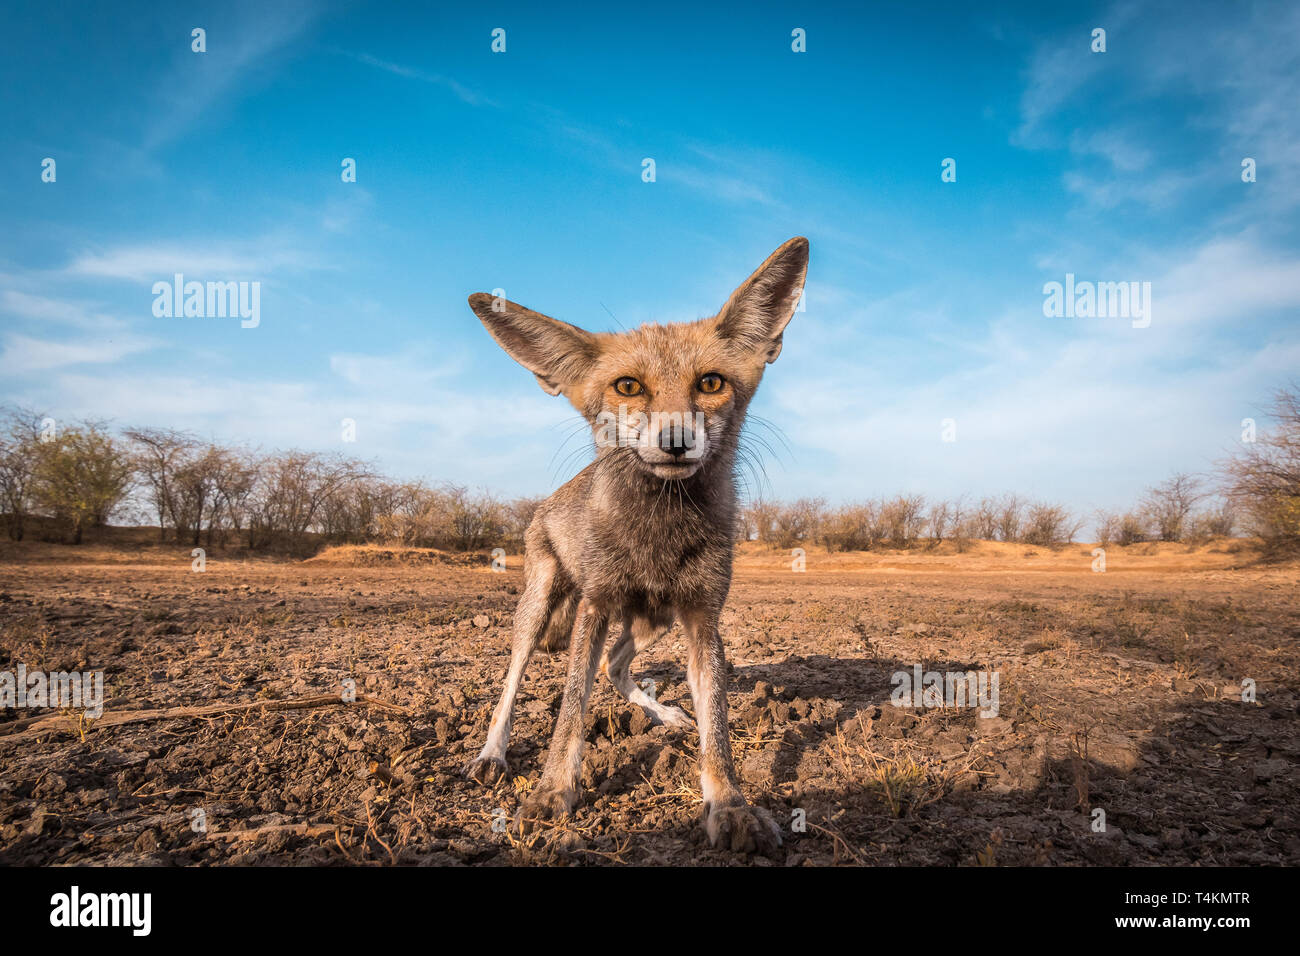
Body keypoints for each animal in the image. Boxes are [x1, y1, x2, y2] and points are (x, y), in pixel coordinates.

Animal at [462, 237, 809, 854]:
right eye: (628, 386)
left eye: (711, 383)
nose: (676, 440)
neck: (657, 535)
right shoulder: (596, 606)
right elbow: (570, 711)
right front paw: (554, 793)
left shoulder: (701, 616)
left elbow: (717, 726)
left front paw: (730, 806)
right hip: (542, 604)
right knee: (515, 678)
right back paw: (491, 755)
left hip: (652, 618)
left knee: (617, 666)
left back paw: (666, 716)